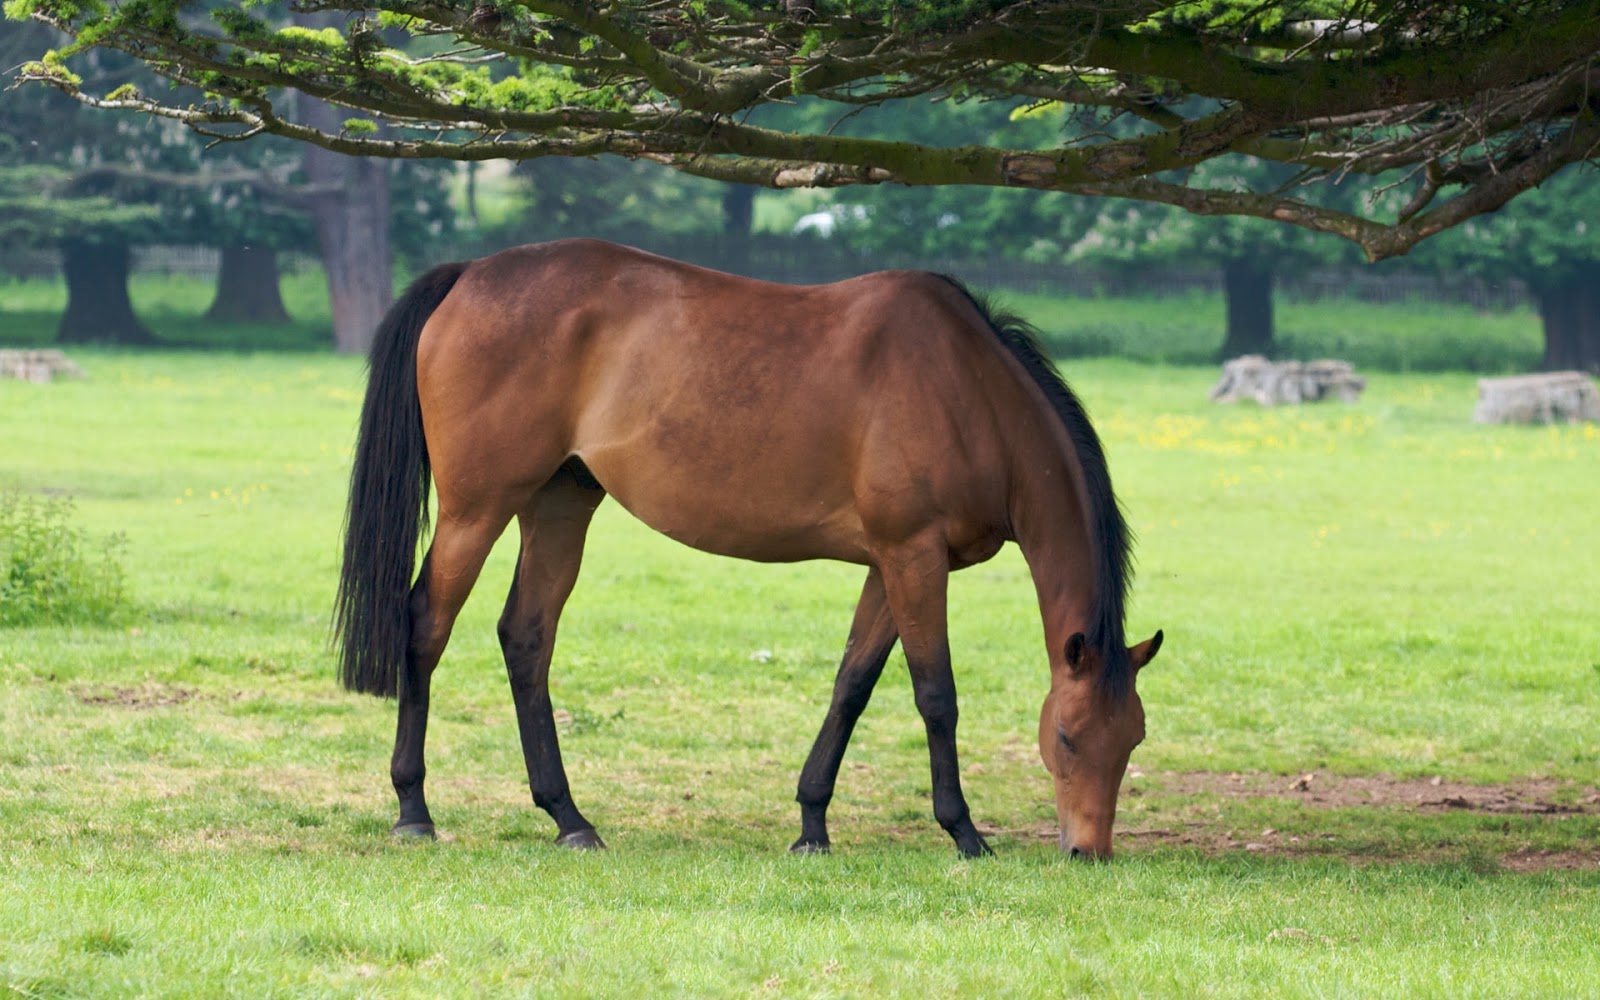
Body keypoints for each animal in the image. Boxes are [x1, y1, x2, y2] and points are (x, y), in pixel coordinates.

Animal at [334, 239, 1162, 860]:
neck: (969, 391)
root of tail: (470, 273)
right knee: (425, 625)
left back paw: (569, 818)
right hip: (477, 509)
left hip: (559, 502)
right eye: (1066, 736)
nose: (1088, 851)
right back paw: (413, 809)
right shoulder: (914, 557)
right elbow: (936, 696)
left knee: (526, 637)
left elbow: (852, 685)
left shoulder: (889, 565)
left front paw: (812, 824)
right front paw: (963, 833)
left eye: (1134, 740)